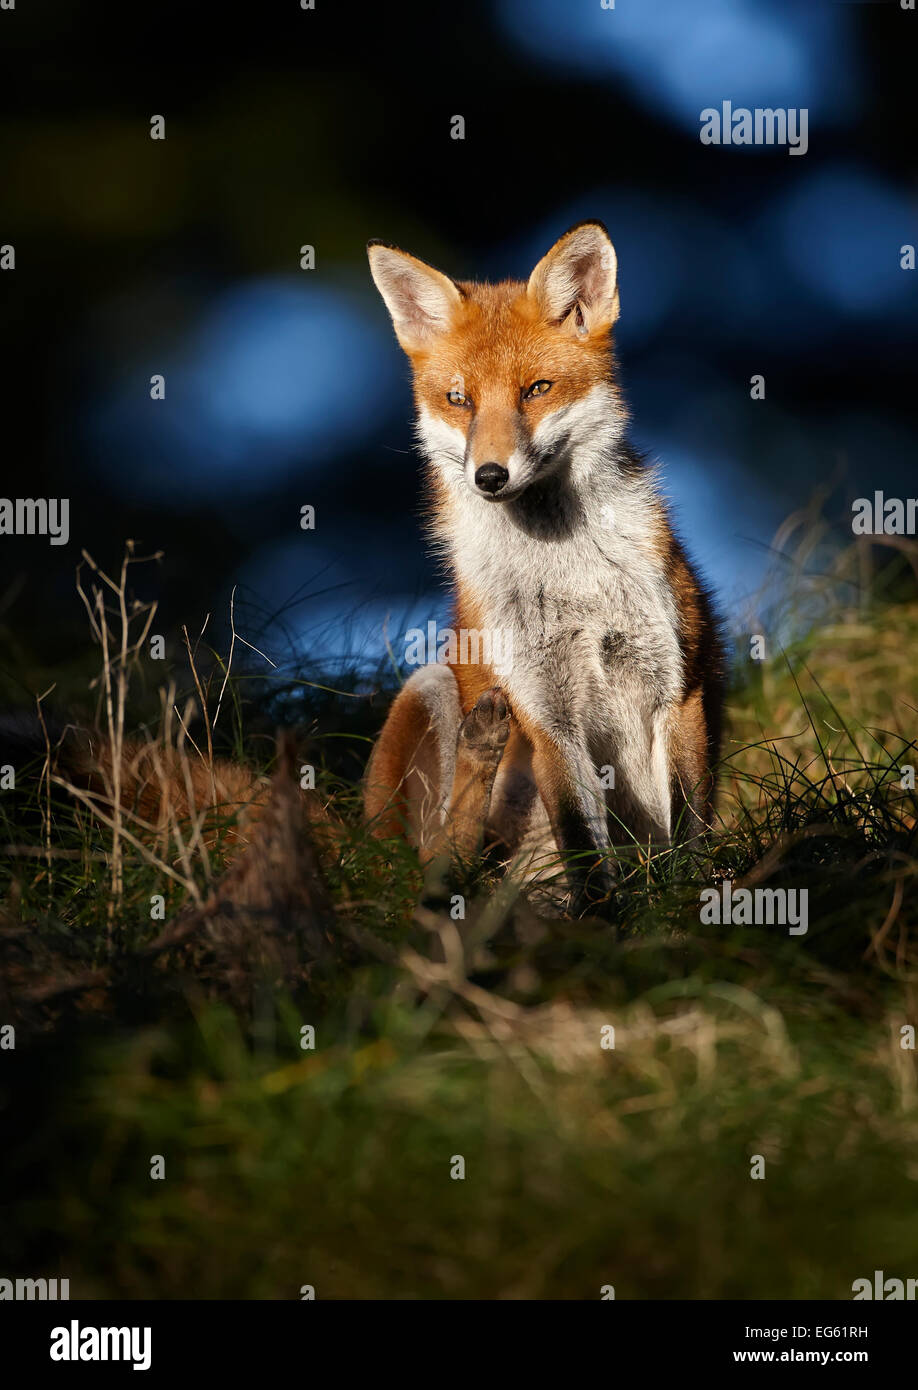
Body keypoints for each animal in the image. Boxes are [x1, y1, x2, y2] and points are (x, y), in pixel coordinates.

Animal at [363, 221, 725, 912]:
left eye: (536, 390)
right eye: (459, 400)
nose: (489, 475)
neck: (568, 572)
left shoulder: (677, 687)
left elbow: (688, 825)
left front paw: (689, 904)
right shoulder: (544, 712)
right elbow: (582, 840)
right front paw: (603, 921)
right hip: (428, 690)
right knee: (438, 863)